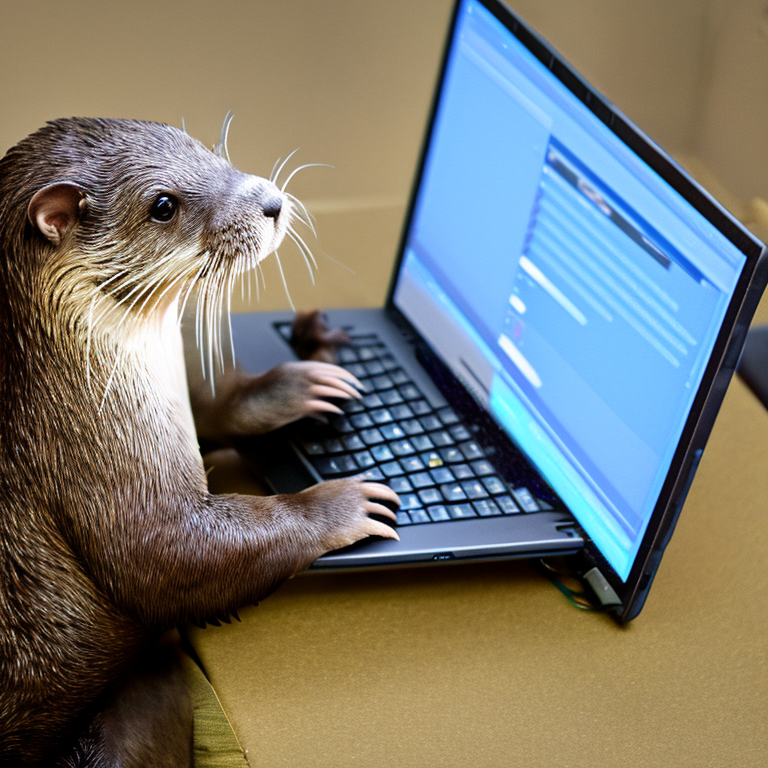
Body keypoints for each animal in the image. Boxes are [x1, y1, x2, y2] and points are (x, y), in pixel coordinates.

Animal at [0, 117, 400, 766]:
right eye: (164, 205)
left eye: (207, 150)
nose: (272, 202)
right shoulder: (86, 451)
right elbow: (166, 557)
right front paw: (340, 504)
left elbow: (218, 408)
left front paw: (298, 380)